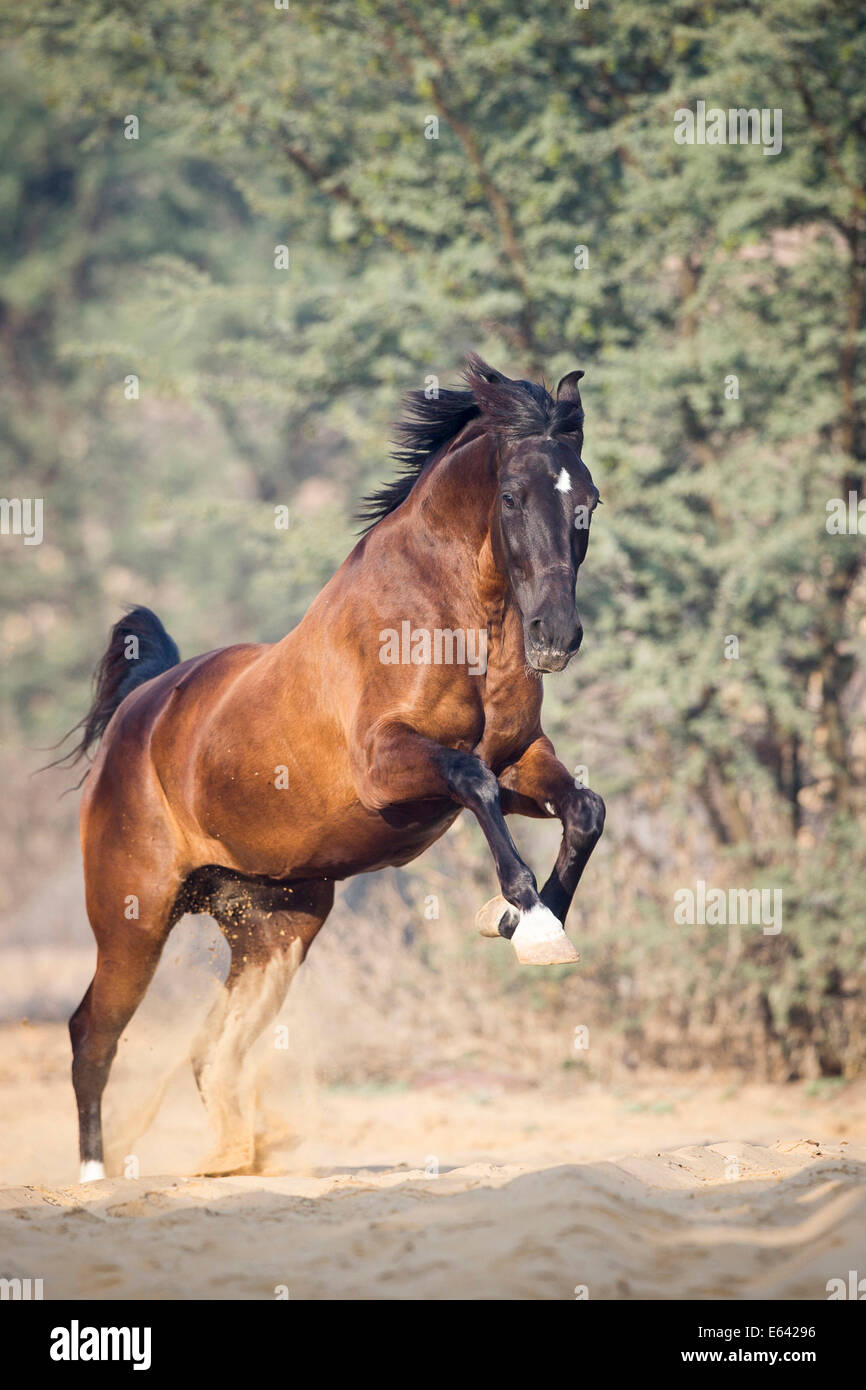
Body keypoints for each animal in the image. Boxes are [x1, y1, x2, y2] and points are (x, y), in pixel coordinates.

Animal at [62, 354, 605, 1181]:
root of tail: (144, 704)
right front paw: (529, 921)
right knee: (93, 1031)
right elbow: (473, 783)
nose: (556, 636)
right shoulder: (392, 770)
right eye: (512, 495)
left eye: (590, 501)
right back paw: (96, 1178)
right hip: (133, 916)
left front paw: (523, 918)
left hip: (276, 929)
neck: (449, 621)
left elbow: (584, 809)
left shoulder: (520, 761)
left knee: (213, 1051)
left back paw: (231, 1157)